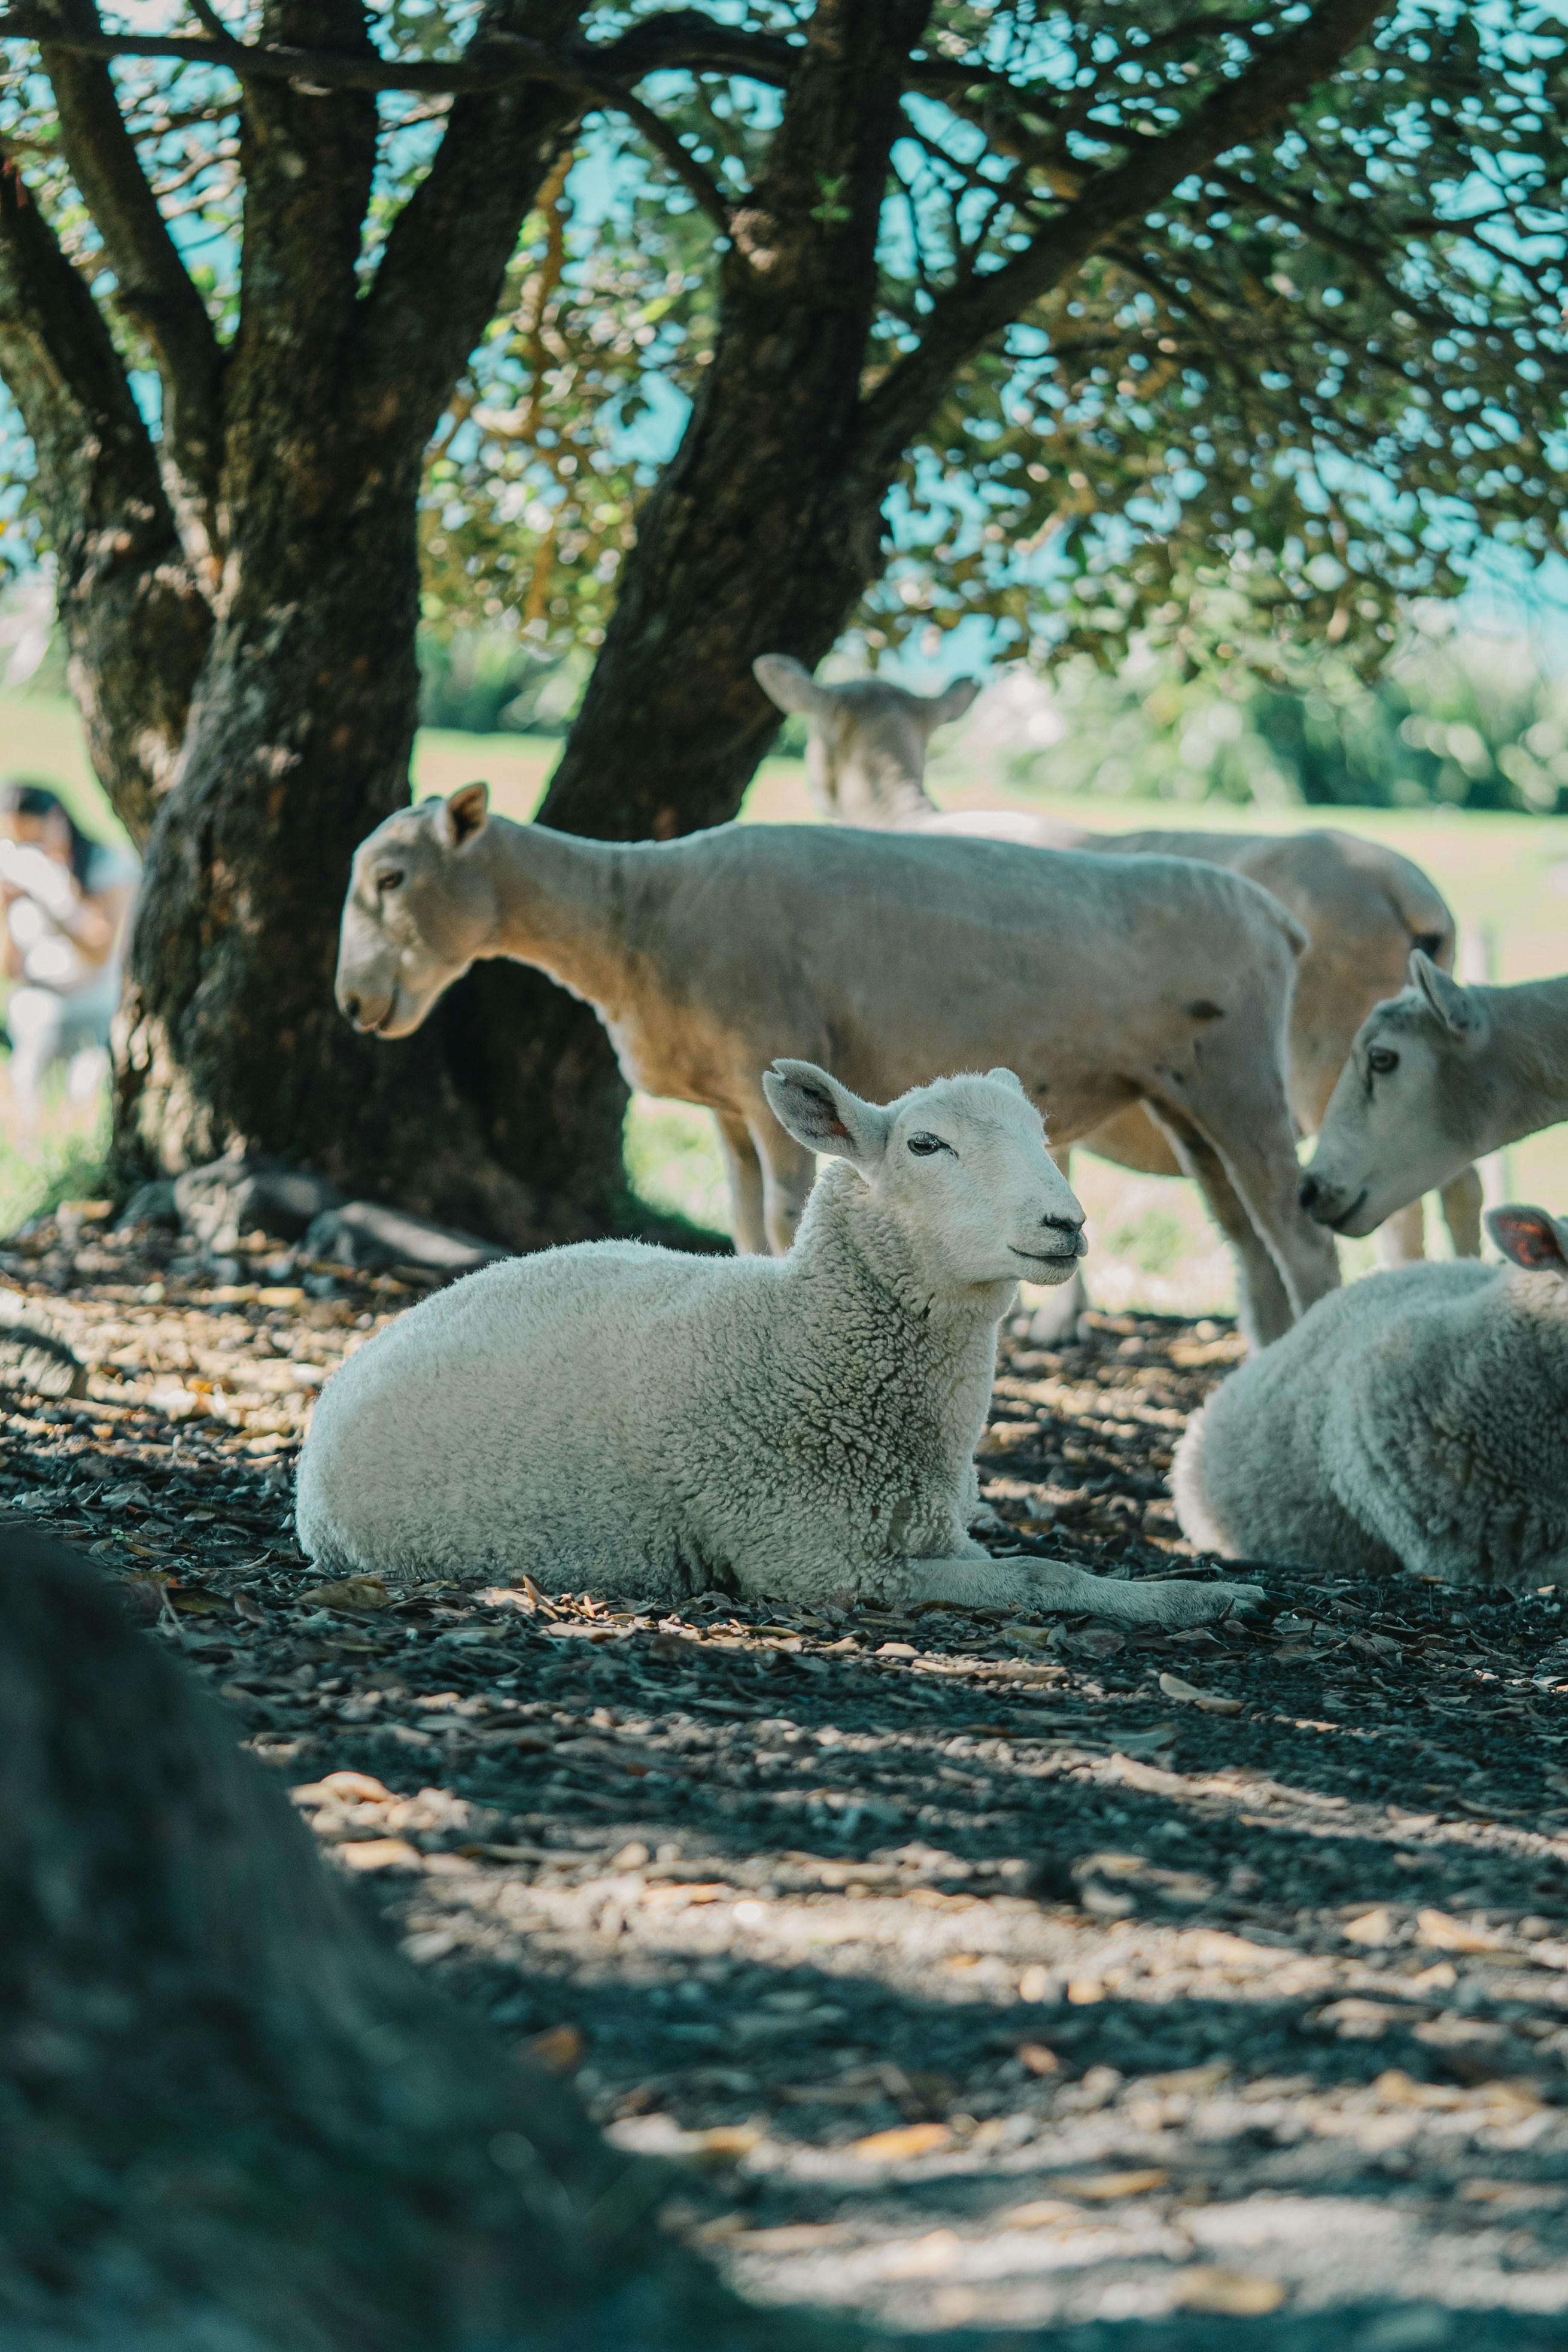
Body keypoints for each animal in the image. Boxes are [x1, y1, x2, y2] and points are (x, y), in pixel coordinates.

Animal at [298, 1061, 1262, 1624]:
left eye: (1042, 1136)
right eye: (925, 1144)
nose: (1067, 1224)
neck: (798, 1340)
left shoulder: (933, 1534)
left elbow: (1052, 1568)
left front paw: (1205, 1593)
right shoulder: (818, 1557)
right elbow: (1042, 1579)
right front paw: (1188, 1603)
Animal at [335, 784, 1340, 1347]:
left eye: (391, 879)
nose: (350, 1002)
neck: (638, 915)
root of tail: (1281, 921)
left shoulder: (765, 1060)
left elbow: (781, 1215)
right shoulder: (730, 1103)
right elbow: (743, 1222)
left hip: (1242, 1077)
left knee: (1303, 1243)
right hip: (1185, 1096)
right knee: (1251, 1250)